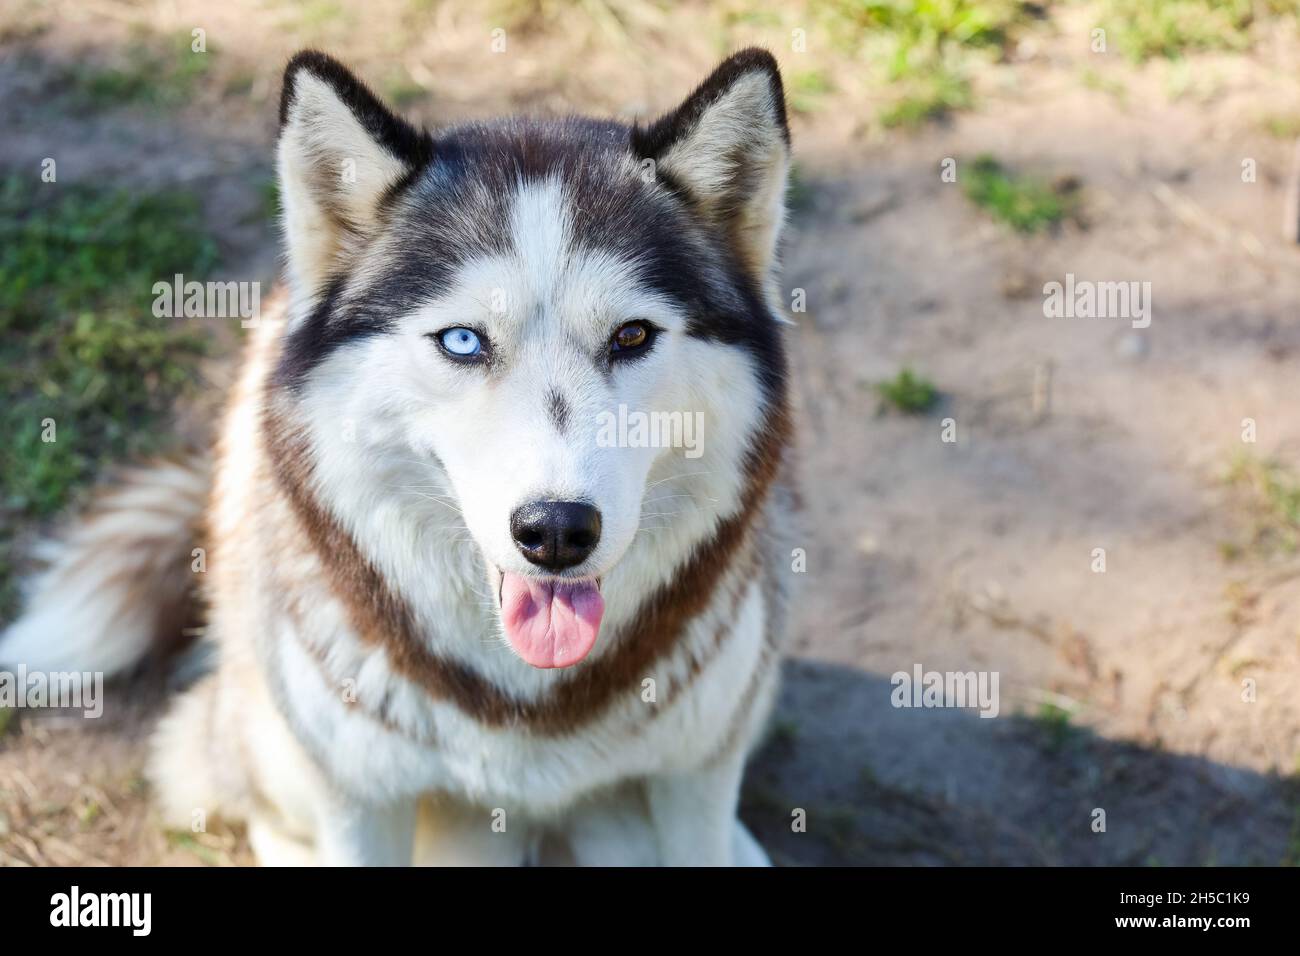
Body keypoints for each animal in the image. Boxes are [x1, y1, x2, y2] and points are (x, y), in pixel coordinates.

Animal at [0, 47, 796, 866]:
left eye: (632, 336)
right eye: (464, 341)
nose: (556, 531)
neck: (529, 698)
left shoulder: (697, 772)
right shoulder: (356, 795)